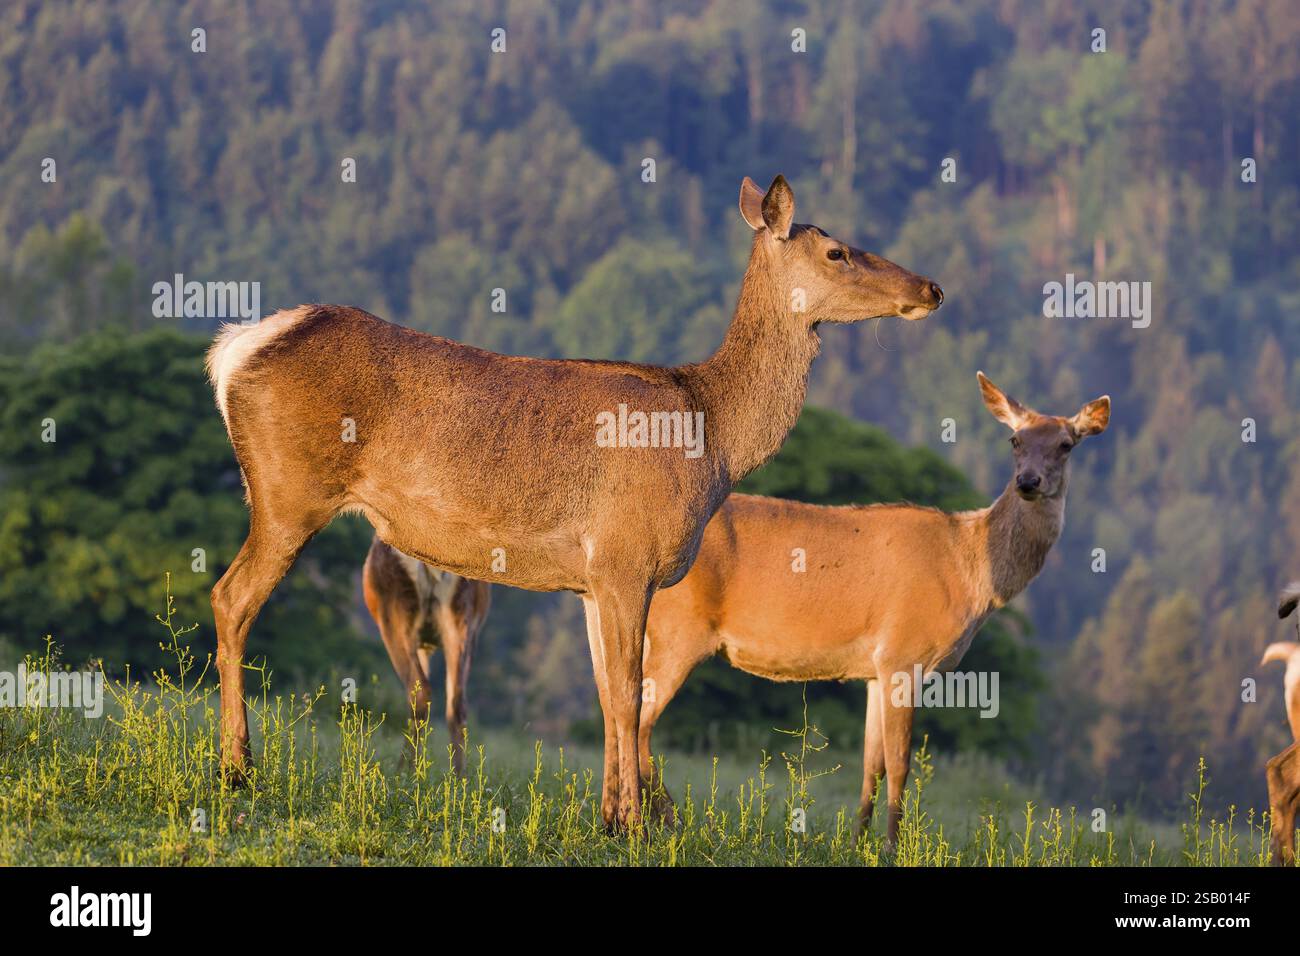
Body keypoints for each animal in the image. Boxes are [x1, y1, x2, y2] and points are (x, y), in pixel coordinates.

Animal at [361, 535, 490, 774]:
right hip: (463, 621)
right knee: (457, 702)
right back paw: (459, 775)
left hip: (393, 611)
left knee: (419, 692)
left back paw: (406, 770)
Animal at [638, 372, 1110, 844]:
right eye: (1015, 439)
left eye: (1066, 444)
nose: (1028, 481)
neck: (970, 572)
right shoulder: (904, 652)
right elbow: (900, 764)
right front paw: (891, 846)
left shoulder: (873, 669)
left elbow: (871, 765)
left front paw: (857, 841)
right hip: (678, 631)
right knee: (640, 721)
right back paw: (667, 819)